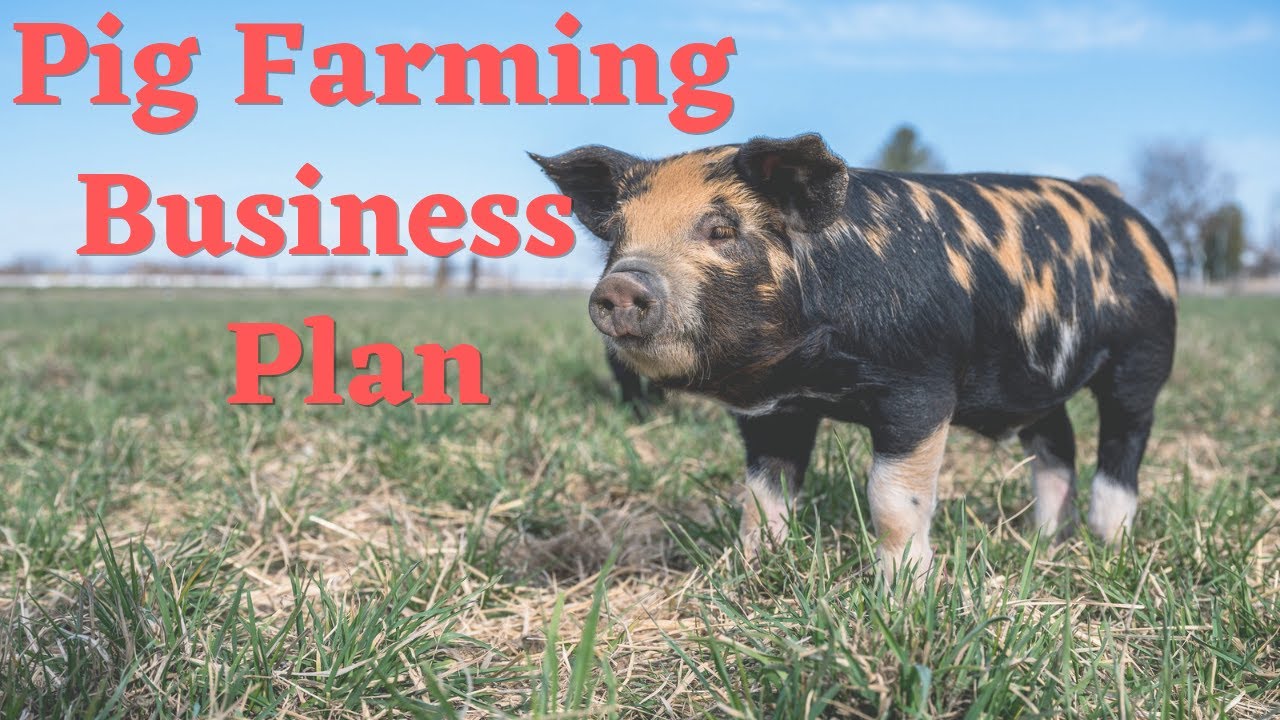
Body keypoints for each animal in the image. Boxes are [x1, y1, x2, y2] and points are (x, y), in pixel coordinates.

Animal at [530, 133, 1177, 585]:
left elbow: (892, 499)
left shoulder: (920, 387)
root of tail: (1115, 200)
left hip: (1143, 355)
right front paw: (753, 574)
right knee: (1056, 442)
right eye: (618, 236)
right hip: (1035, 380)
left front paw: (903, 594)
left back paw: (1108, 541)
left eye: (721, 228)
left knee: (1123, 438)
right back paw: (1045, 540)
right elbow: (760, 498)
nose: (621, 284)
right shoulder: (775, 411)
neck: (813, 369)